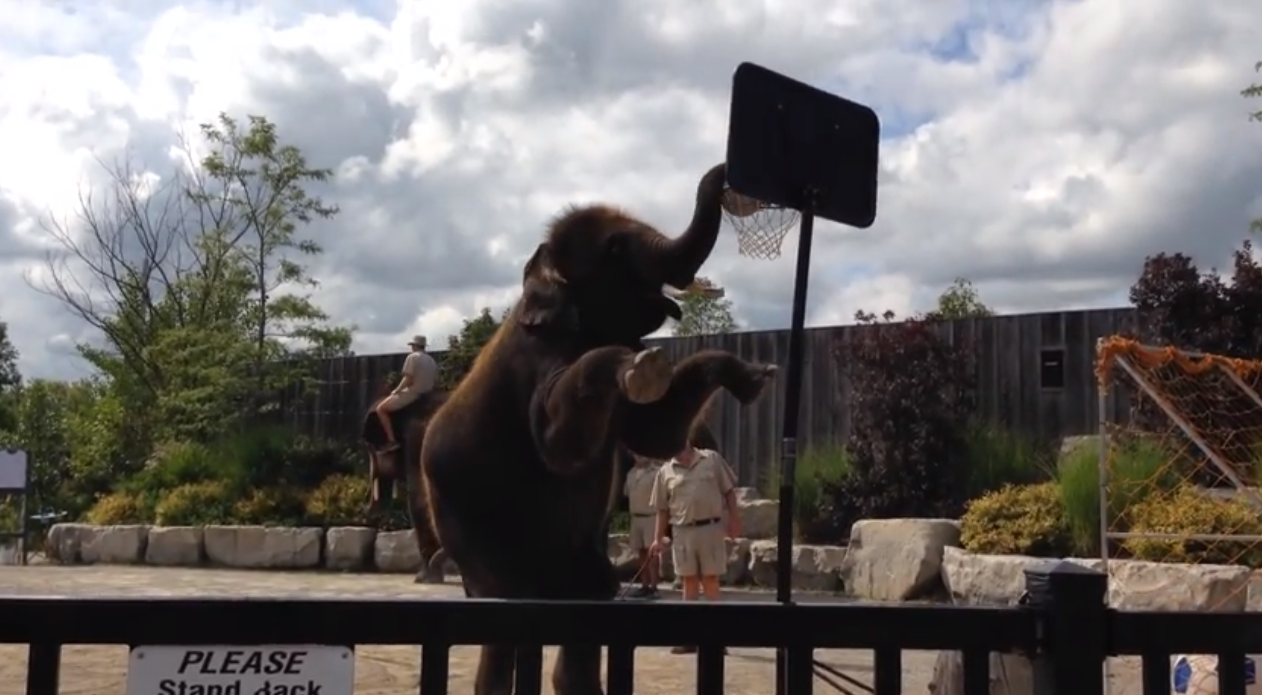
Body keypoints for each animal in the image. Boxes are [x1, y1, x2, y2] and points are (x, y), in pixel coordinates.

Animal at [419, 161, 780, 695]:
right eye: (614, 250)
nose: (729, 175)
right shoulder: (536, 359)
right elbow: (559, 442)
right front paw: (636, 365)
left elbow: (658, 432)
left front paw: (753, 377)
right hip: (467, 524)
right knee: (503, 615)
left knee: (584, 607)